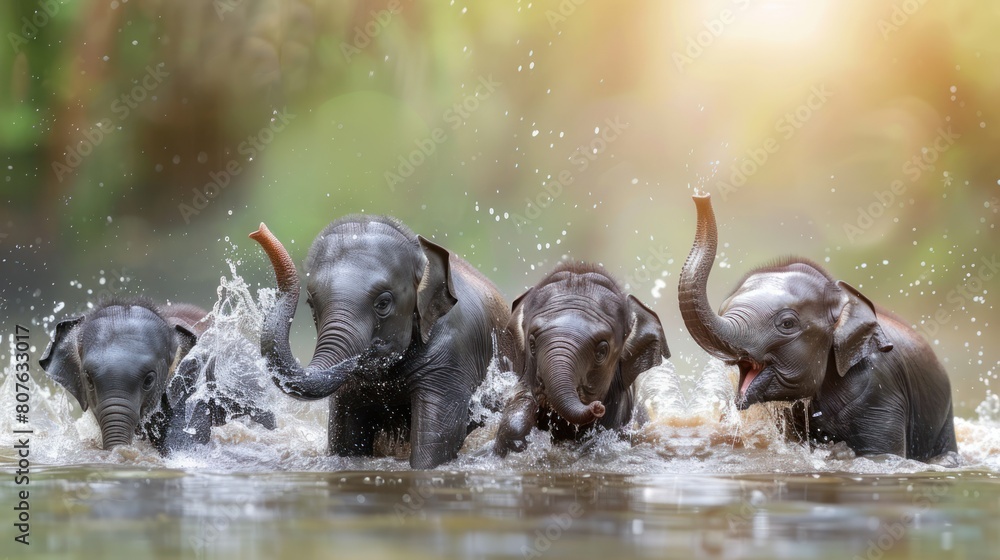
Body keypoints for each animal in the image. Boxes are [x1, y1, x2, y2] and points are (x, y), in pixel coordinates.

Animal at [249, 215, 510, 469]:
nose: (258, 231)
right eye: (311, 305)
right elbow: (345, 441)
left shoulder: (452, 356)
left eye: (383, 303)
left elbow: (434, 446)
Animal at [677, 192, 957, 462]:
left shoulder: (881, 393)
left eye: (787, 324)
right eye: (722, 310)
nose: (700, 196)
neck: (841, 295)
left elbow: (882, 455)